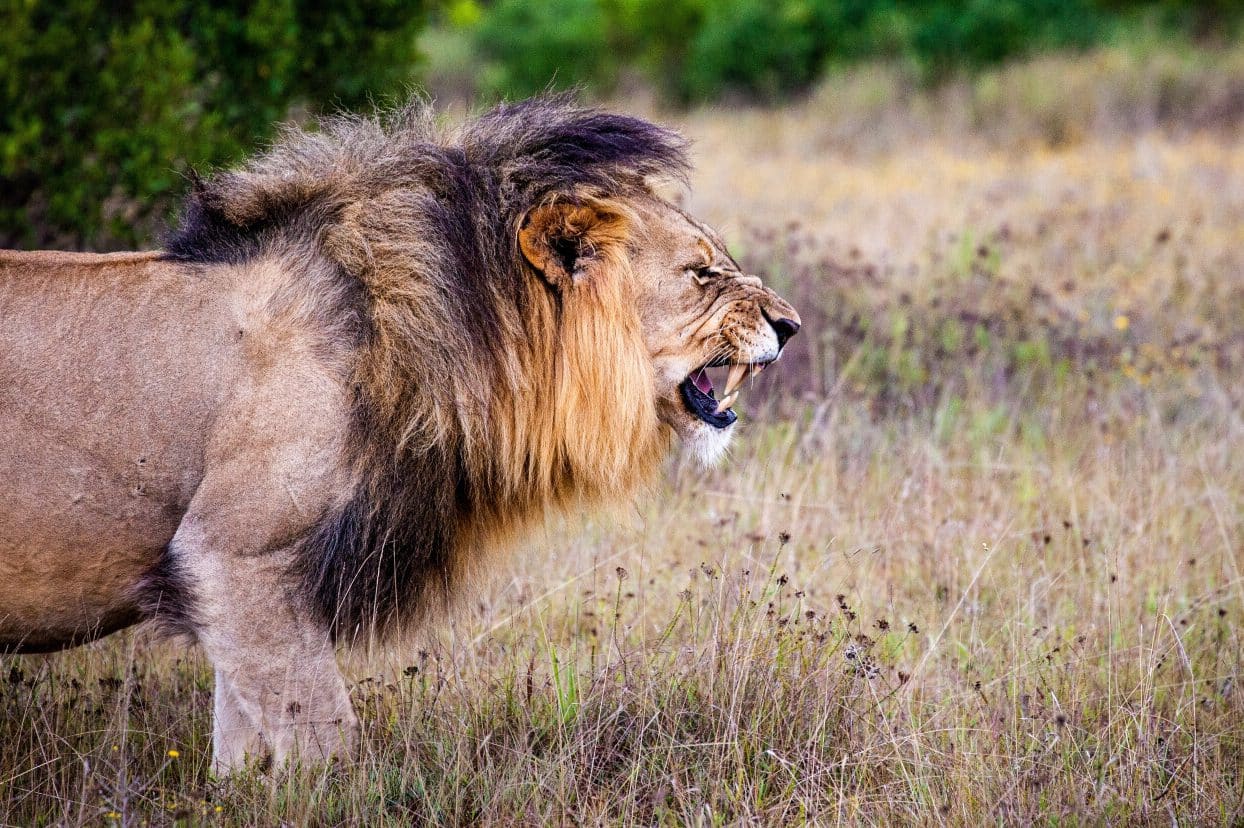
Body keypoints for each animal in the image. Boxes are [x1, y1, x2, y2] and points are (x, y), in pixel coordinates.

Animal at [0, 96, 800, 773]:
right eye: (701, 273)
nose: (790, 325)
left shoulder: (237, 585)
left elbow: (244, 744)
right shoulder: (231, 553)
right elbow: (323, 737)